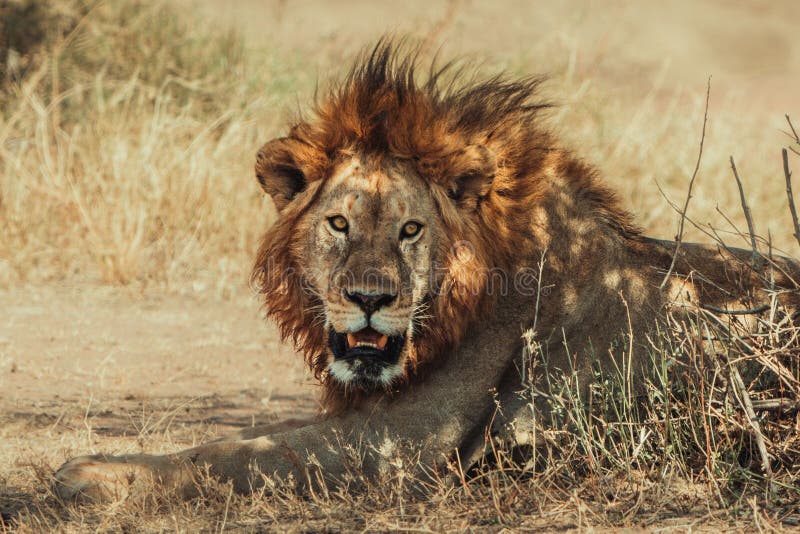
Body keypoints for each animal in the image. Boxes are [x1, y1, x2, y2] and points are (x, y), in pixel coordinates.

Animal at [53, 42, 800, 502]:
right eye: (340, 224)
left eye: (411, 230)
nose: (369, 298)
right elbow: (243, 437)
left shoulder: (405, 442)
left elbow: (242, 452)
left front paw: (88, 474)